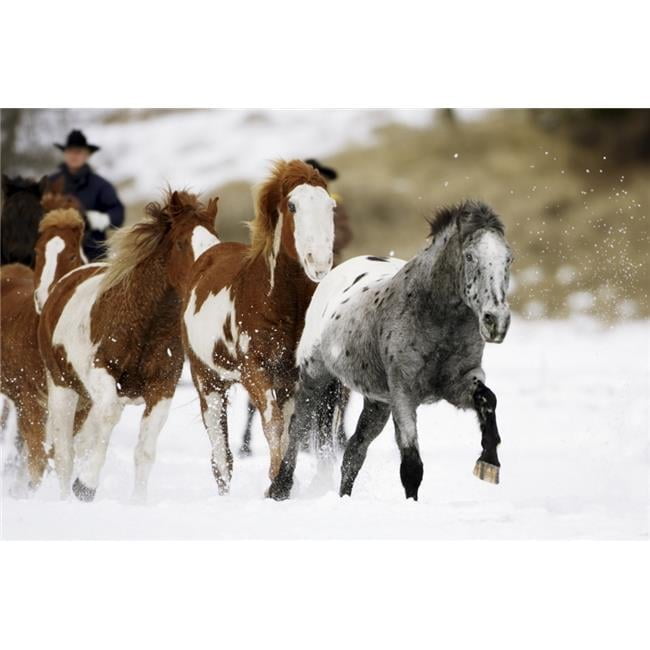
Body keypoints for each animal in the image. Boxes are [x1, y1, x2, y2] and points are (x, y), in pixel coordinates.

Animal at [0, 208, 86, 491]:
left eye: (71, 255)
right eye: (38, 252)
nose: (43, 297)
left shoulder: (79, 404)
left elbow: (53, 452)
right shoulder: (28, 398)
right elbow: (38, 457)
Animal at [37, 190, 219, 501]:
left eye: (215, 241)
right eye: (182, 242)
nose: (203, 278)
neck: (146, 328)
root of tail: (60, 287)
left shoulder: (162, 388)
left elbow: (144, 450)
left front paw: (138, 503)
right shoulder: (102, 373)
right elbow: (104, 422)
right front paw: (85, 487)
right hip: (62, 388)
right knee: (64, 454)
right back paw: (66, 497)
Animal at [182, 160, 336, 494]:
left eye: (331, 206)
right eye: (292, 205)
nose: (319, 262)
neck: (280, 303)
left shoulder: (291, 376)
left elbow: (290, 428)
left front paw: (282, 482)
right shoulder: (254, 371)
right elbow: (273, 424)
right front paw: (276, 484)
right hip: (208, 383)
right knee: (221, 455)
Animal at [268, 200, 513, 501]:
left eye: (509, 259)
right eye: (469, 256)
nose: (496, 321)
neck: (436, 317)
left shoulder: (460, 382)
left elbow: (488, 399)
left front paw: (489, 463)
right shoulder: (403, 393)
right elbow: (411, 465)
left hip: (377, 403)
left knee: (354, 452)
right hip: (315, 376)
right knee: (297, 428)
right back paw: (280, 489)